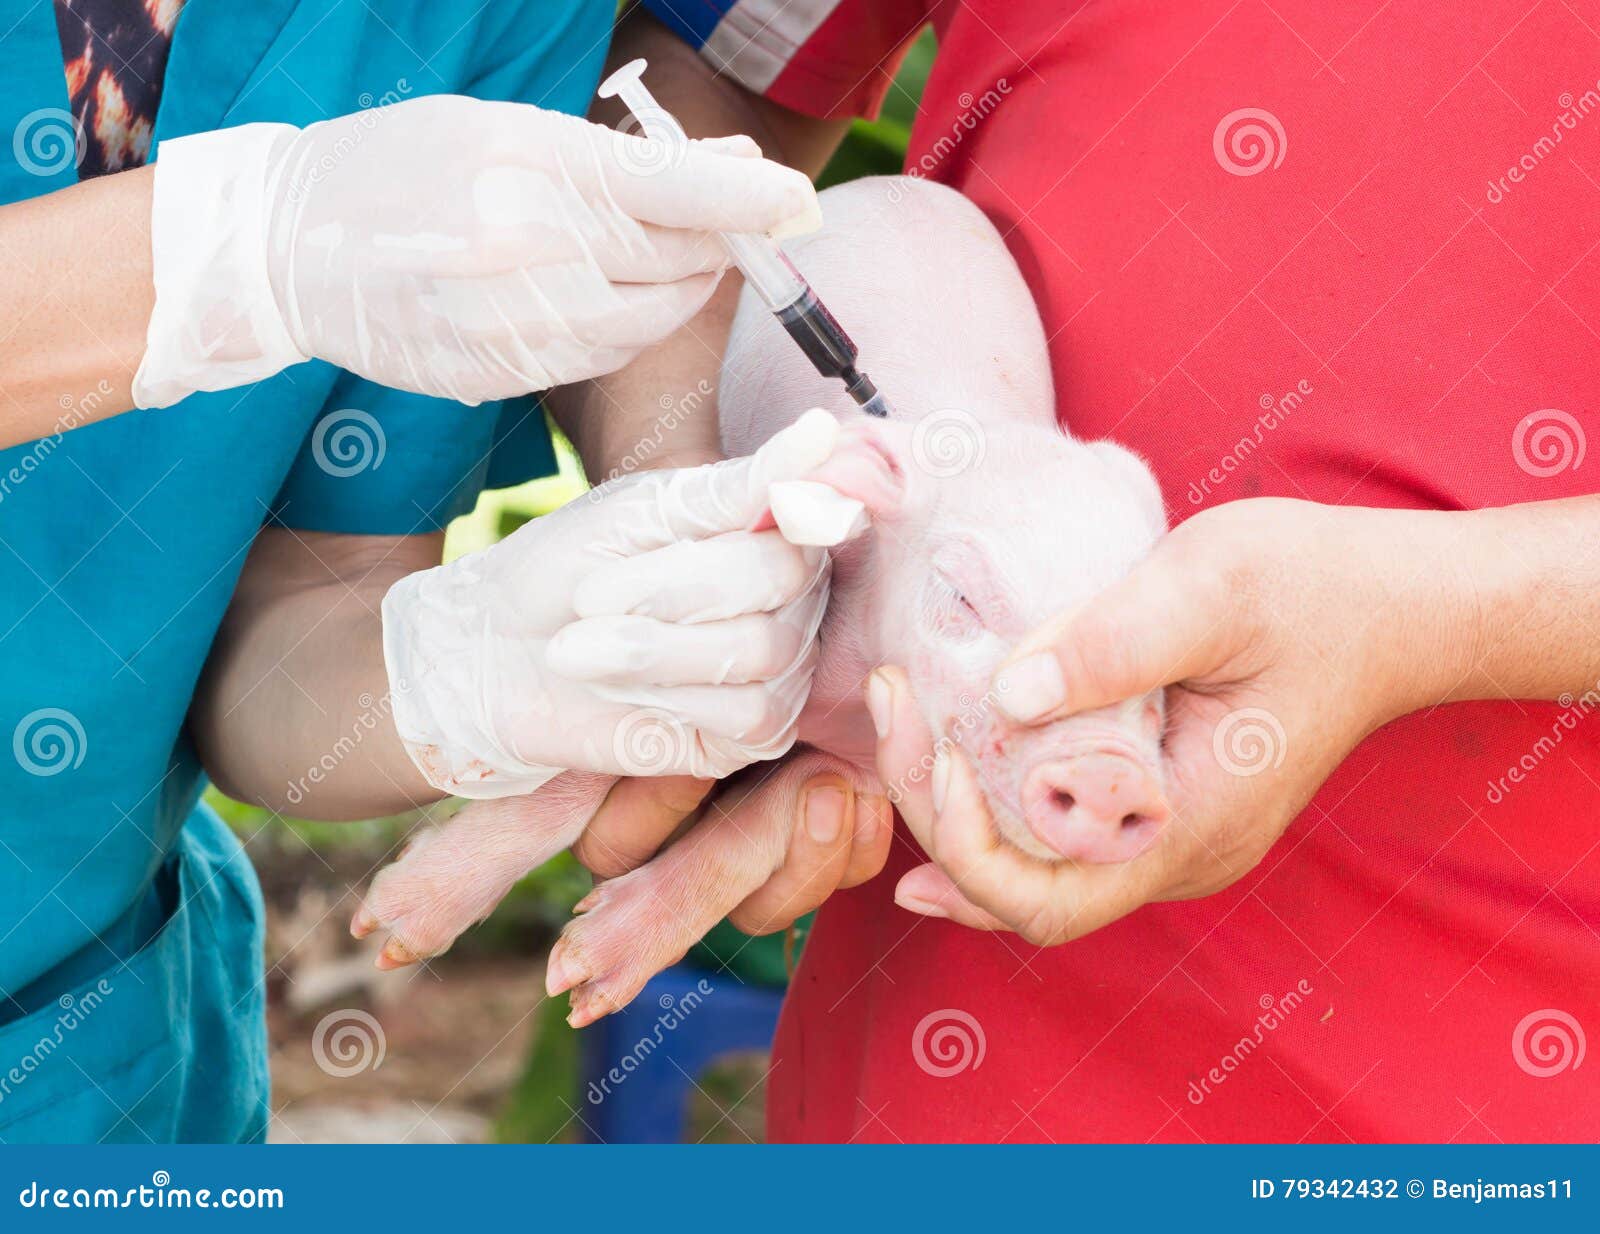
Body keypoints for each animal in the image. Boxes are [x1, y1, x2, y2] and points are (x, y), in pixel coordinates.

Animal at [353, 176, 1170, 1025]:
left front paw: (580, 976)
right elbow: (593, 751)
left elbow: (757, 828)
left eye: (1145, 641)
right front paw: (388, 926)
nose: (1111, 778)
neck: (849, 700)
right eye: (964, 596)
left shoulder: (862, 770)